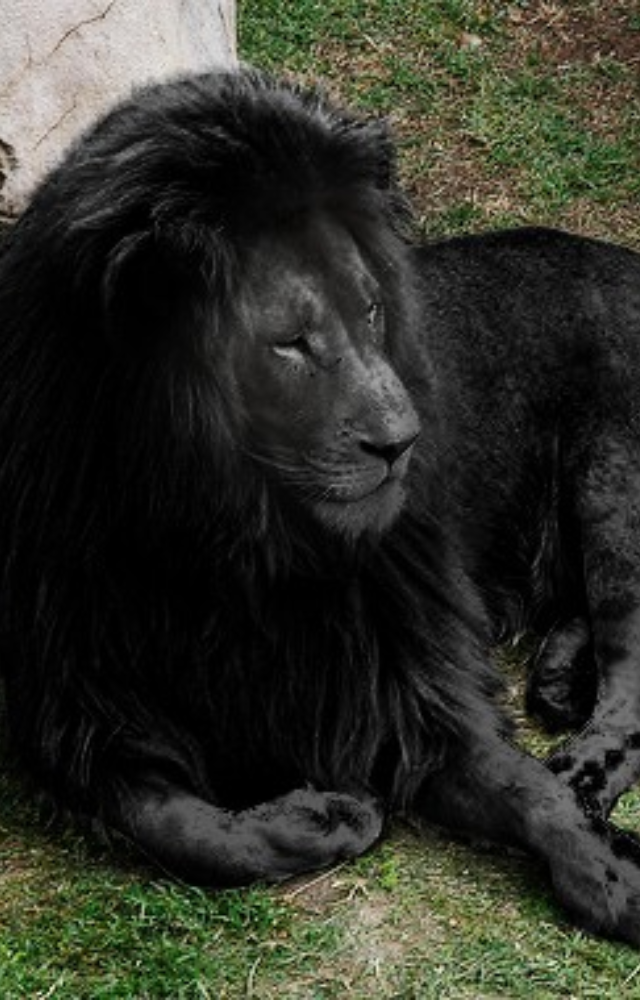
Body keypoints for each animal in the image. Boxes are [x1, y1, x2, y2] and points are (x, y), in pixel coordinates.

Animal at [1, 67, 640, 945]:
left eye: (372, 309)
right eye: (290, 343)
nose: (405, 441)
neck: (233, 548)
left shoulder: (410, 693)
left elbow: (527, 791)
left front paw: (612, 870)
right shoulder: (86, 709)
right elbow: (175, 824)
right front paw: (327, 819)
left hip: (614, 487)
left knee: (631, 669)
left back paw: (584, 763)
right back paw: (555, 677)